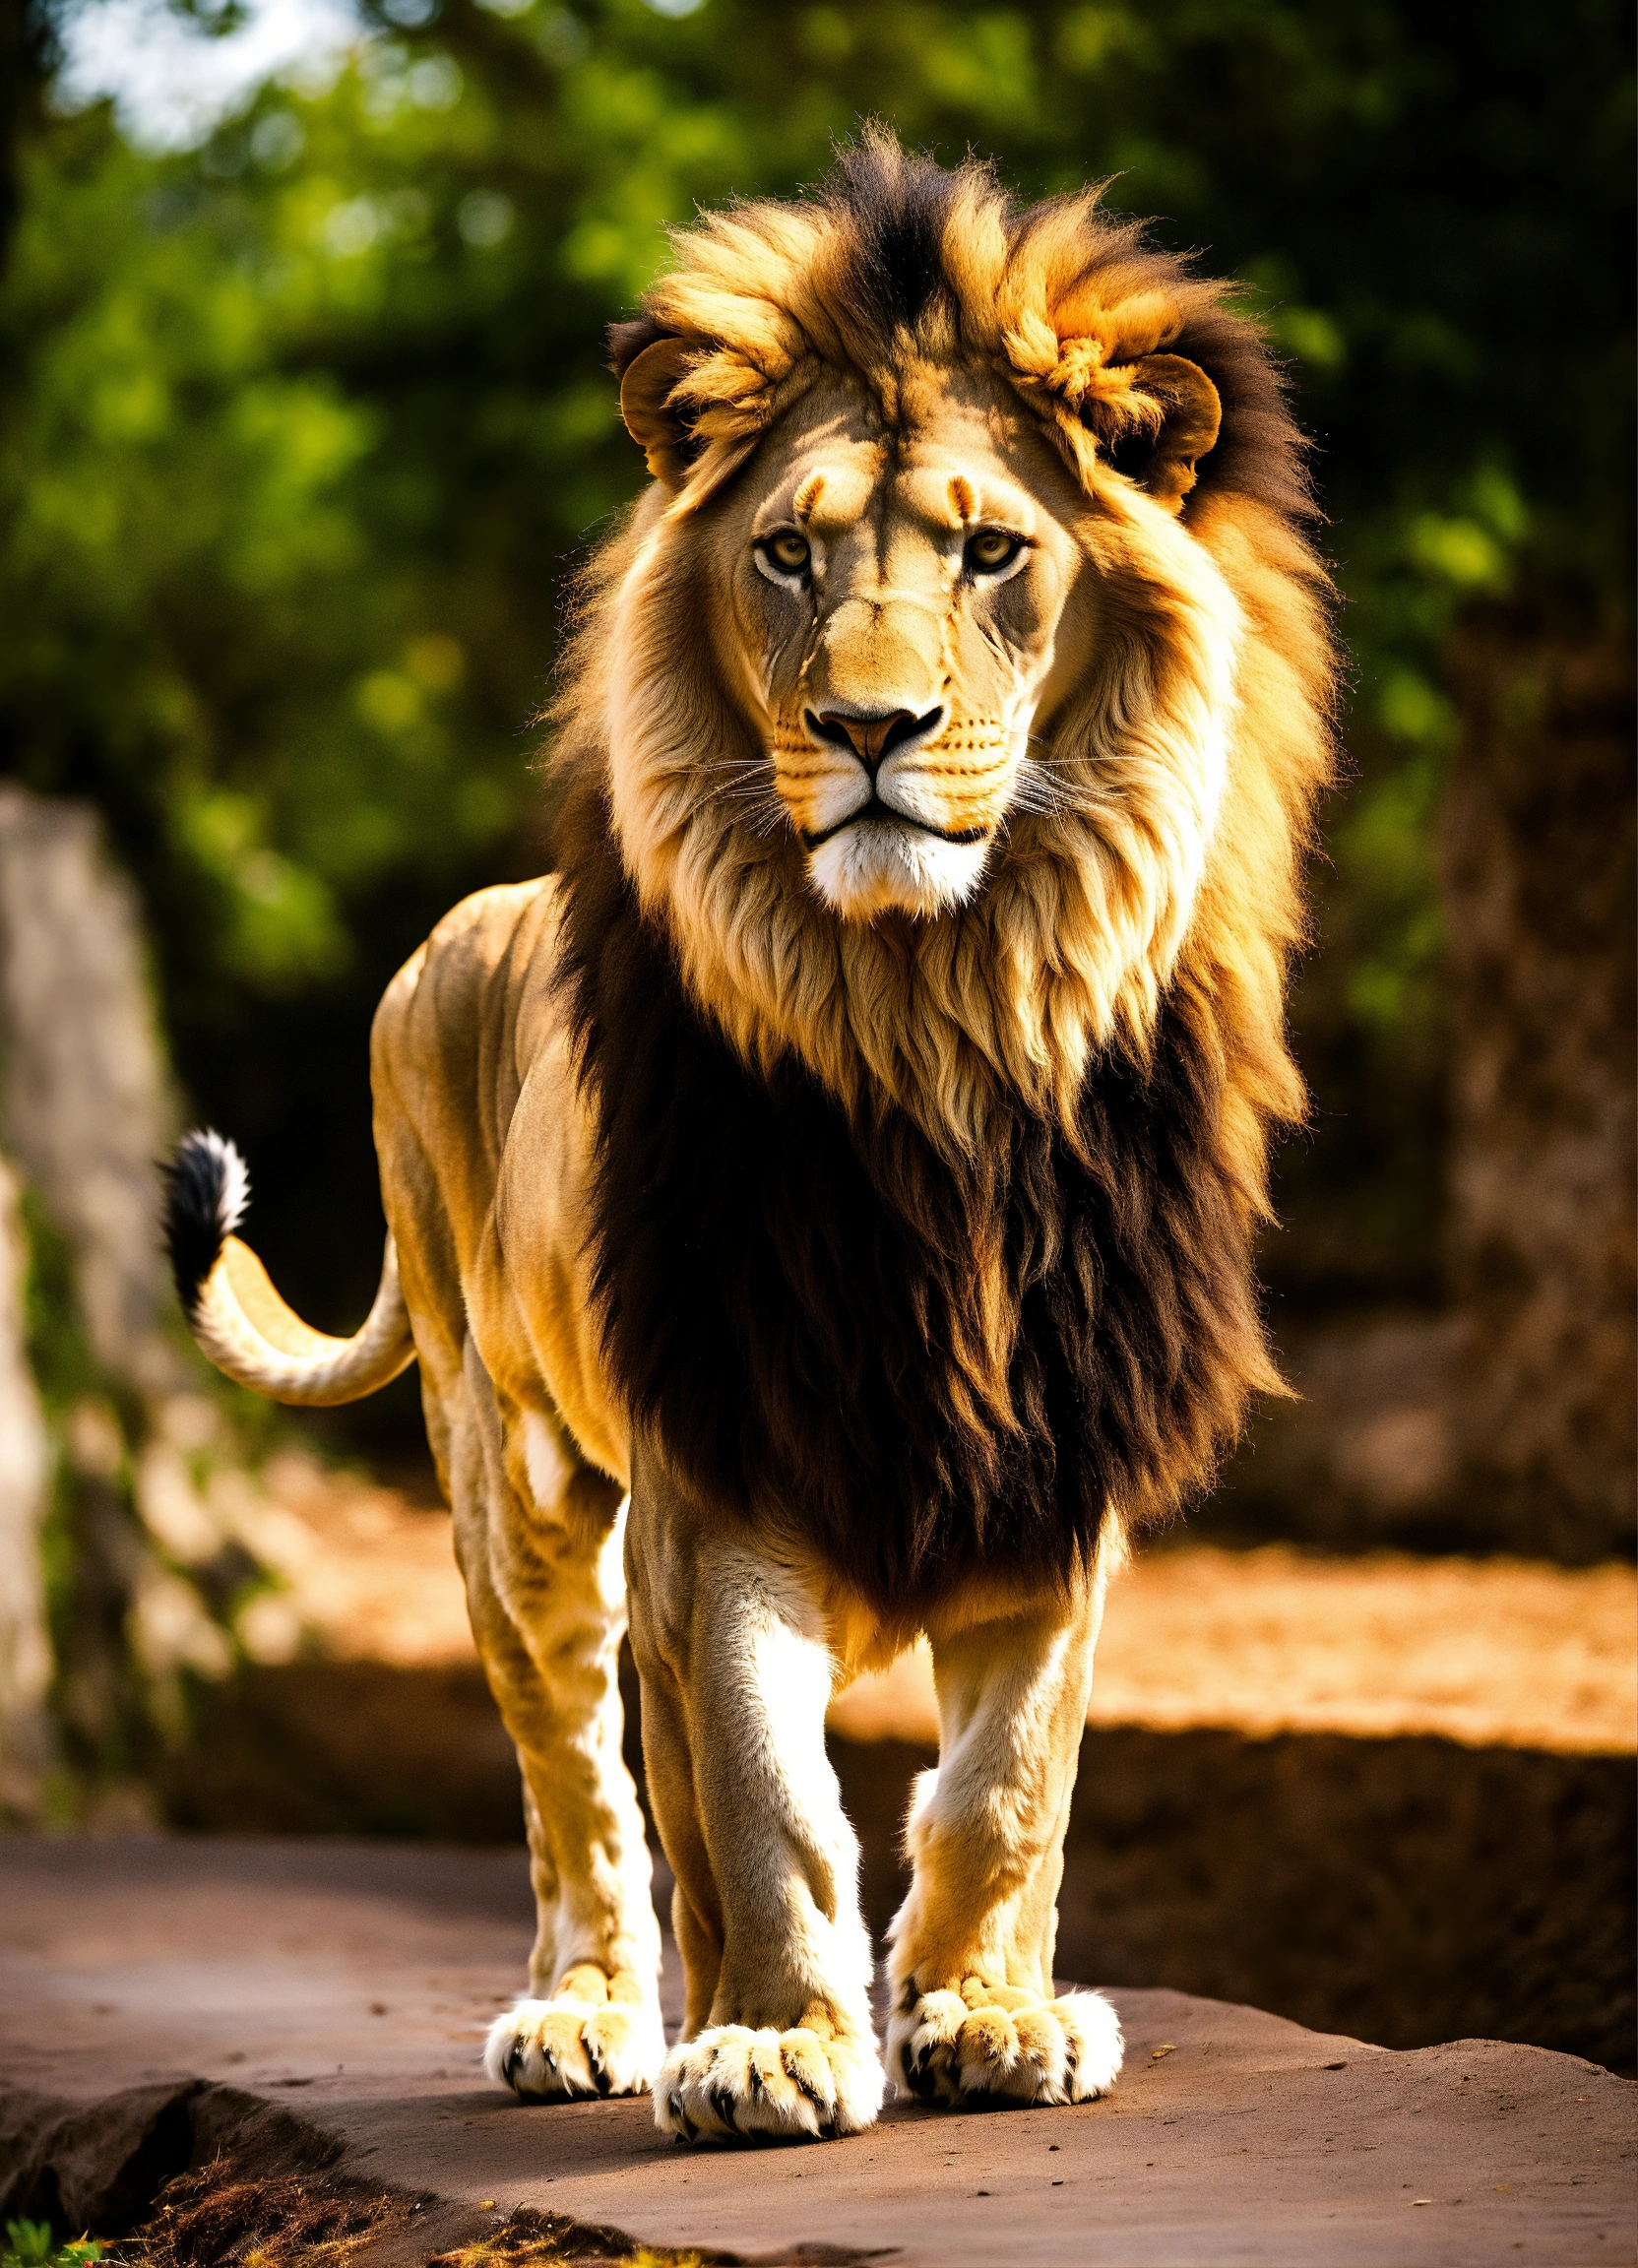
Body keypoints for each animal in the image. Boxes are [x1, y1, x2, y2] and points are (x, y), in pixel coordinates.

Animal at [162, 131, 1332, 2144]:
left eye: (994, 552)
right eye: (787, 553)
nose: (868, 727)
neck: (935, 1018)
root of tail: (451, 931)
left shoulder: (1061, 1451)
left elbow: (1008, 1782)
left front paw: (992, 2014)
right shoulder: (709, 1473)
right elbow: (757, 1790)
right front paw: (774, 2039)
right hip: (512, 1496)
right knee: (575, 1794)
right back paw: (587, 2015)